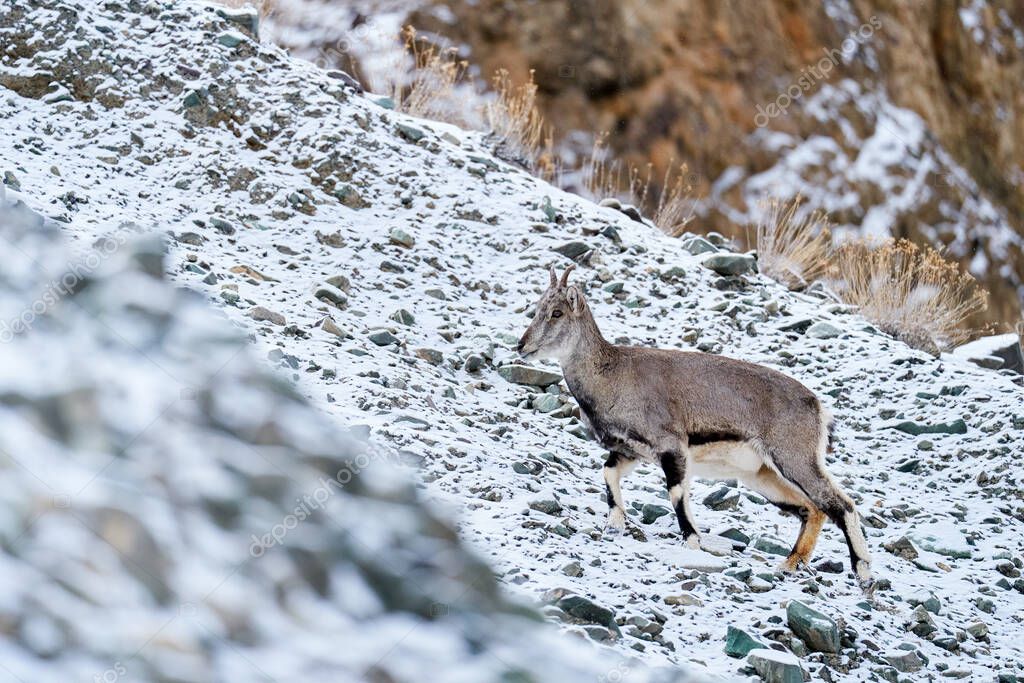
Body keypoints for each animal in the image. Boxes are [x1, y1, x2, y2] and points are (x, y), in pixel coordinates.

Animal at [517, 265, 872, 585]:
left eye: (557, 312)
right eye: (538, 308)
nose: (522, 346)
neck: (612, 376)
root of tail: (817, 408)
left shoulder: (672, 447)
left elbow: (676, 495)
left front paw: (693, 540)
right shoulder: (631, 451)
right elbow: (608, 473)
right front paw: (616, 522)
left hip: (795, 460)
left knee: (842, 505)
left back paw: (863, 574)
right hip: (762, 476)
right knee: (812, 509)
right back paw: (789, 564)